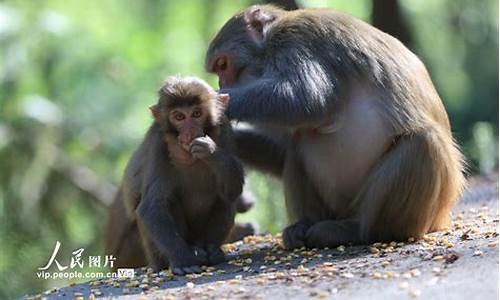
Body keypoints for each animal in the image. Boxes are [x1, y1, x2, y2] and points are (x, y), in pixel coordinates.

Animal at [107, 75, 244, 274]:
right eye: (179, 117)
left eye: (196, 114)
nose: (189, 133)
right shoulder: (158, 144)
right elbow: (152, 206)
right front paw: (183, 260)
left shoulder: (224, 128)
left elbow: (232, 190)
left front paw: (209, 150)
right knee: (169, 200)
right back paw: (190, 254)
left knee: (225, 199)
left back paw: (211, 251)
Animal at [204, 5, 464, 248]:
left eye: (223, 65)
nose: (221, 84)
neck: (268, 45)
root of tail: (442, 217)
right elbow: (282, 147)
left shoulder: (293, 41)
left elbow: (307, 98)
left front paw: (215, 101)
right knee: (297, 145)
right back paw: (304, 226)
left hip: (415, 213)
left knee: (423, 142)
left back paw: (359, 231)